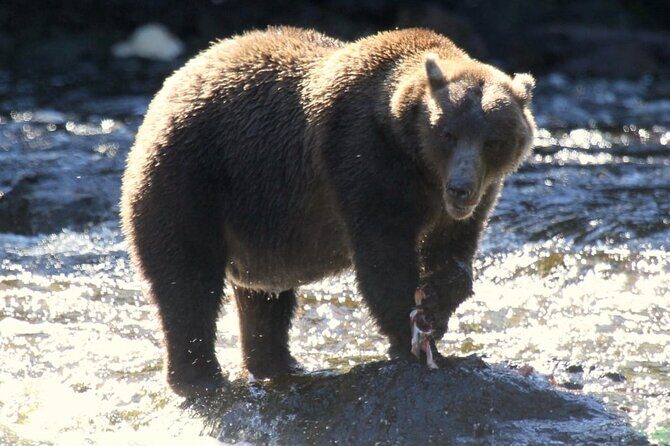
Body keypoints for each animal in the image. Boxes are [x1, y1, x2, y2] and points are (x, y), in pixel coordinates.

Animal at [120, 26, 536, 397]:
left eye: (493, 141)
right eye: (448, 134)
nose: (461, 188)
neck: (414, 158)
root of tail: (171, 85)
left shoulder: (472, 197)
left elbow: (453, 252)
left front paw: (435, 304)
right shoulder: (362, 161)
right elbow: (383, 259)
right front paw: (415, 341)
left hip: (258, 227)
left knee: (264, 299)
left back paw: (279, 364)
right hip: (191, 176)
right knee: (186, 278)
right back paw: (199, 377)